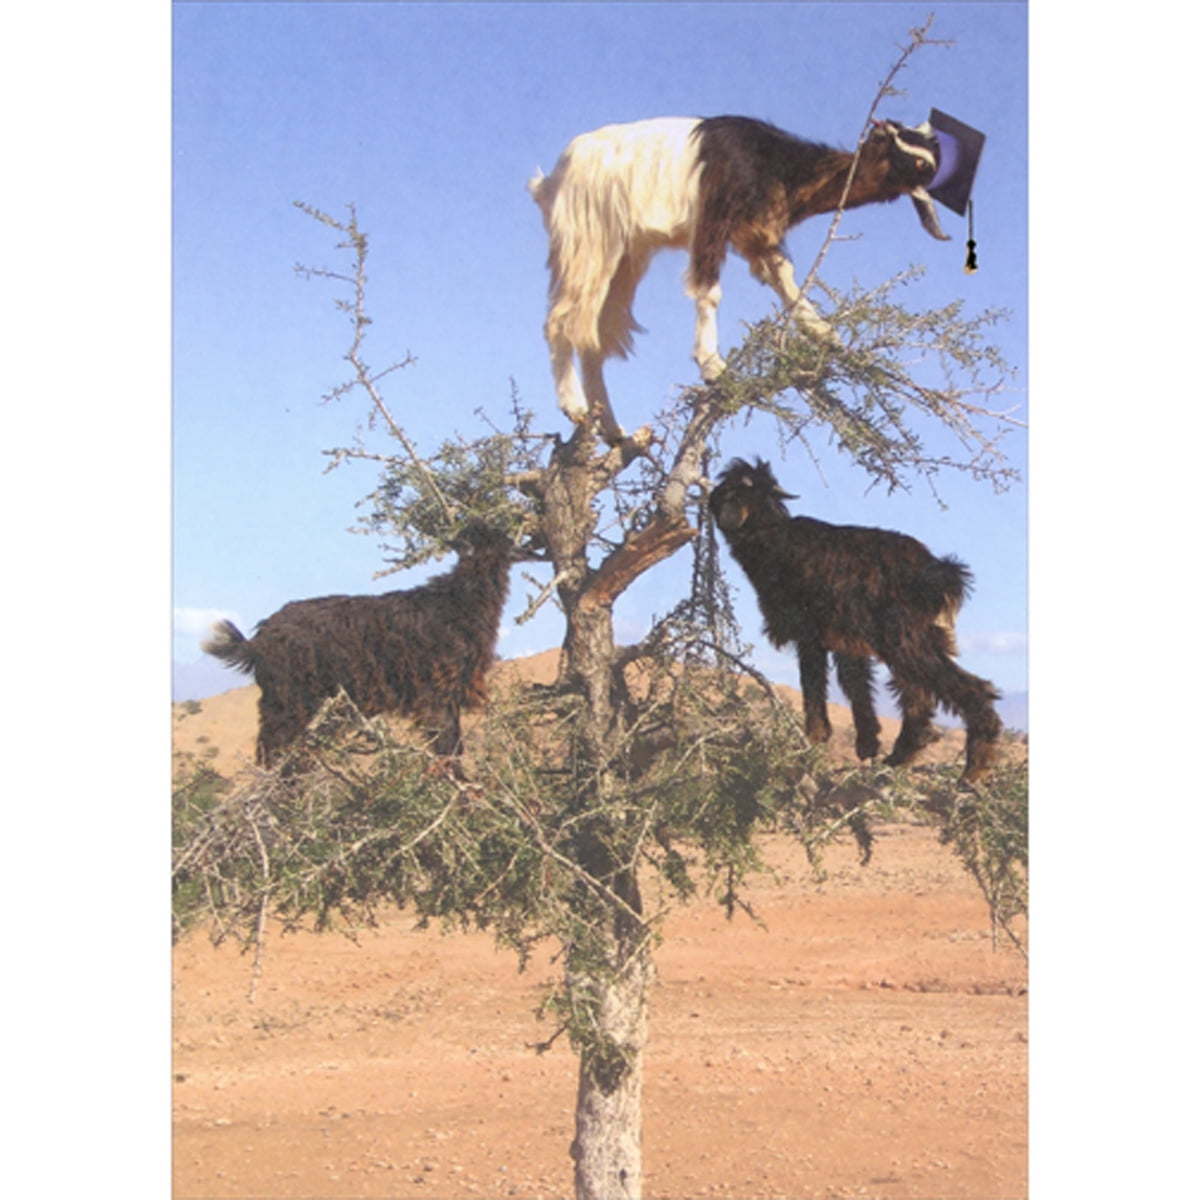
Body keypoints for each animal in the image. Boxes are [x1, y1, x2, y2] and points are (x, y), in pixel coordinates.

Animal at [201, 522, 516, 766]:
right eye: (495, 538)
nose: (520, 545)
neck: (456, 601)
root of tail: (257, 641)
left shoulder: (450, 697)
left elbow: (454, 746)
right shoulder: (435, 694)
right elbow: (446, 748)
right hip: (287, 702)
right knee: (272, 752)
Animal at [529, 114, 949, 443]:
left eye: (925, 161)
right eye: (904, 150)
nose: (880, 129)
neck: (778, 163)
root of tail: (552, 179)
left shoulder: (755, 232)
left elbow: (782, 274)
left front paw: (823, 333)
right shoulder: (715, 217)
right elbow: (709, 290)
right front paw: (712, 365)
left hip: (626, 254)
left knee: (592, 334)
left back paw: (610, 428)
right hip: (589, 238)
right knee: (562, 319)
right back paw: (575, 405)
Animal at [708, 458, 1000, 785]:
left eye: (730, 488)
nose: (710, 499)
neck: (774, 538)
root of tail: (941, 572)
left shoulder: (811, 634)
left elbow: (814, 684)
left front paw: (814, 739)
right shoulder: (845, 641)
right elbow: (855, 685)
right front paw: (867, 745)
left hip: (904, 638)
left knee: (965, 689)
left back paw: (974, 768)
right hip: (918, 638)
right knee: (919, 697)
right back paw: (900, 758)